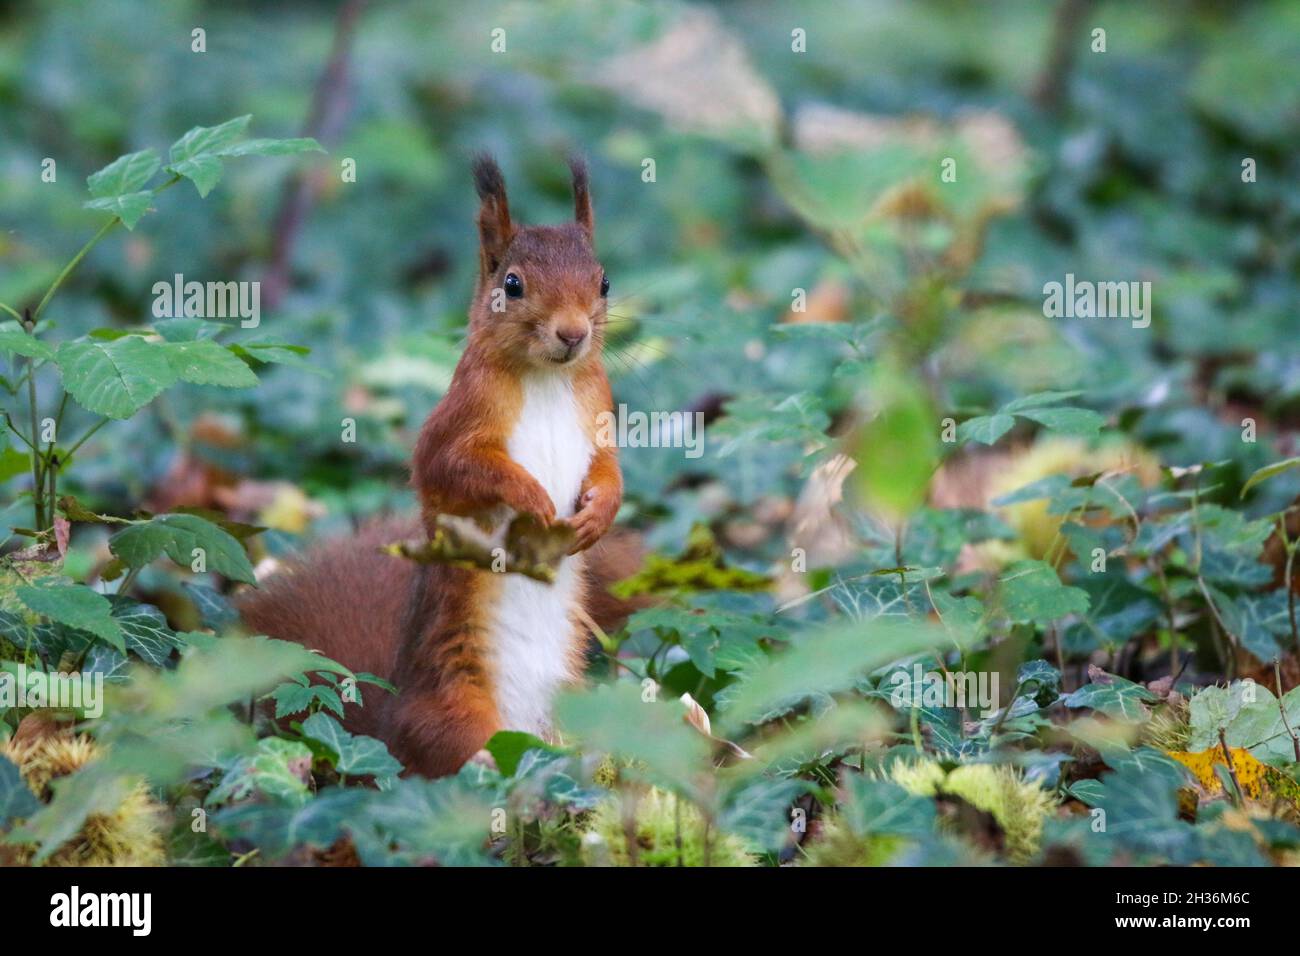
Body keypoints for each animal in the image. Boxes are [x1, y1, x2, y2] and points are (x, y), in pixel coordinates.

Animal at [239, 155, 642, 776]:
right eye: (512, 285)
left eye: (604, 281)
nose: (573, 334)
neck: (547, 379)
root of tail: (383, 734)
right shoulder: (453, 425)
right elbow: (455, 470)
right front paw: (532, 496)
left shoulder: (598, 411)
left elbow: (609, 468)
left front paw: (599, 512)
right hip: (453, 697)